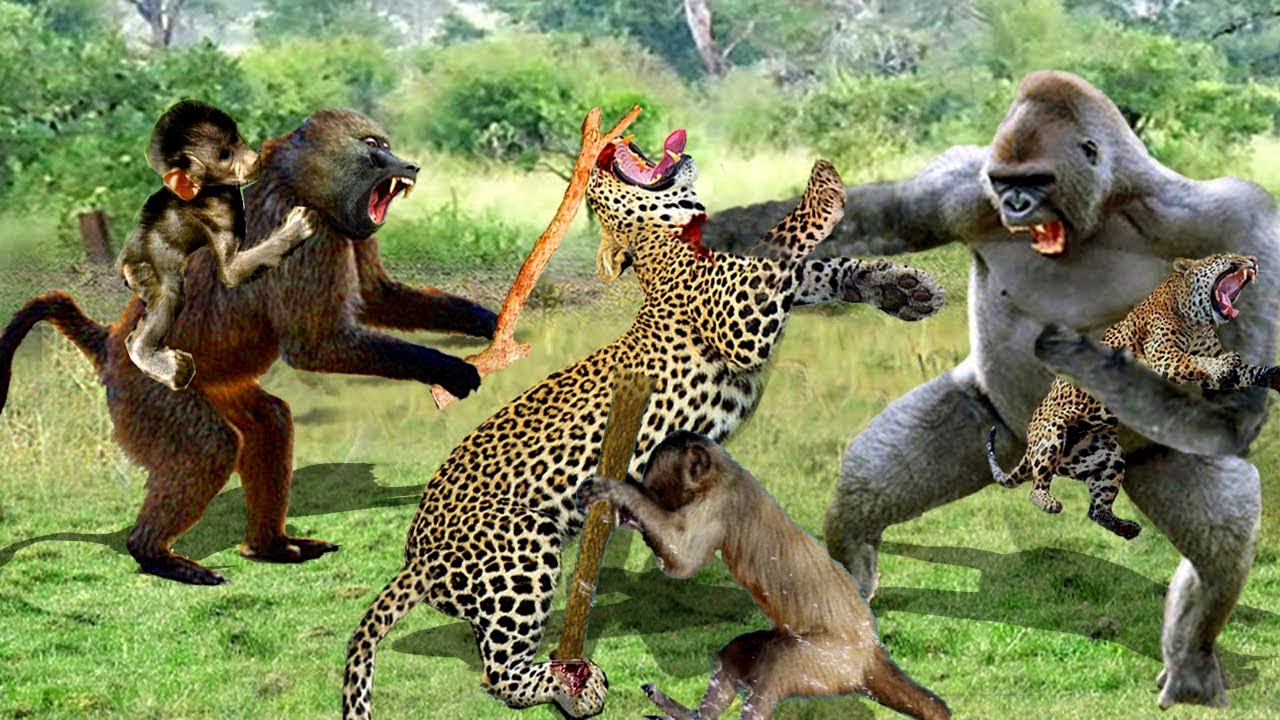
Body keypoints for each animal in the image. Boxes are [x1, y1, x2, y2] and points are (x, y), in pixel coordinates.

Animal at [340, 129, 946, 719]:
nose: (601, 151)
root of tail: (414, 557)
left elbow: (815, 267)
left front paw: (903, 288)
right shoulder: (738, 315)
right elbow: (785, 242)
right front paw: (823, 189)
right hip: (521, 548)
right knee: (498, 671)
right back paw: (577, 687)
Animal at [987, 253, 1280, 539]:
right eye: (1228, 256)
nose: (1254, 260)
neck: (1197, 320)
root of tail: (1029, 444)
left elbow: (1248, 371)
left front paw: (1273, 373)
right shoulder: (1165, 357)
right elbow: (1196, 361)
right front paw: (1224, 365)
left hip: (1108, 458)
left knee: (1096, 510)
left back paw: (1127, 528)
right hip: (1052, 431)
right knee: (1037, 485)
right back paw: (1047, 500)